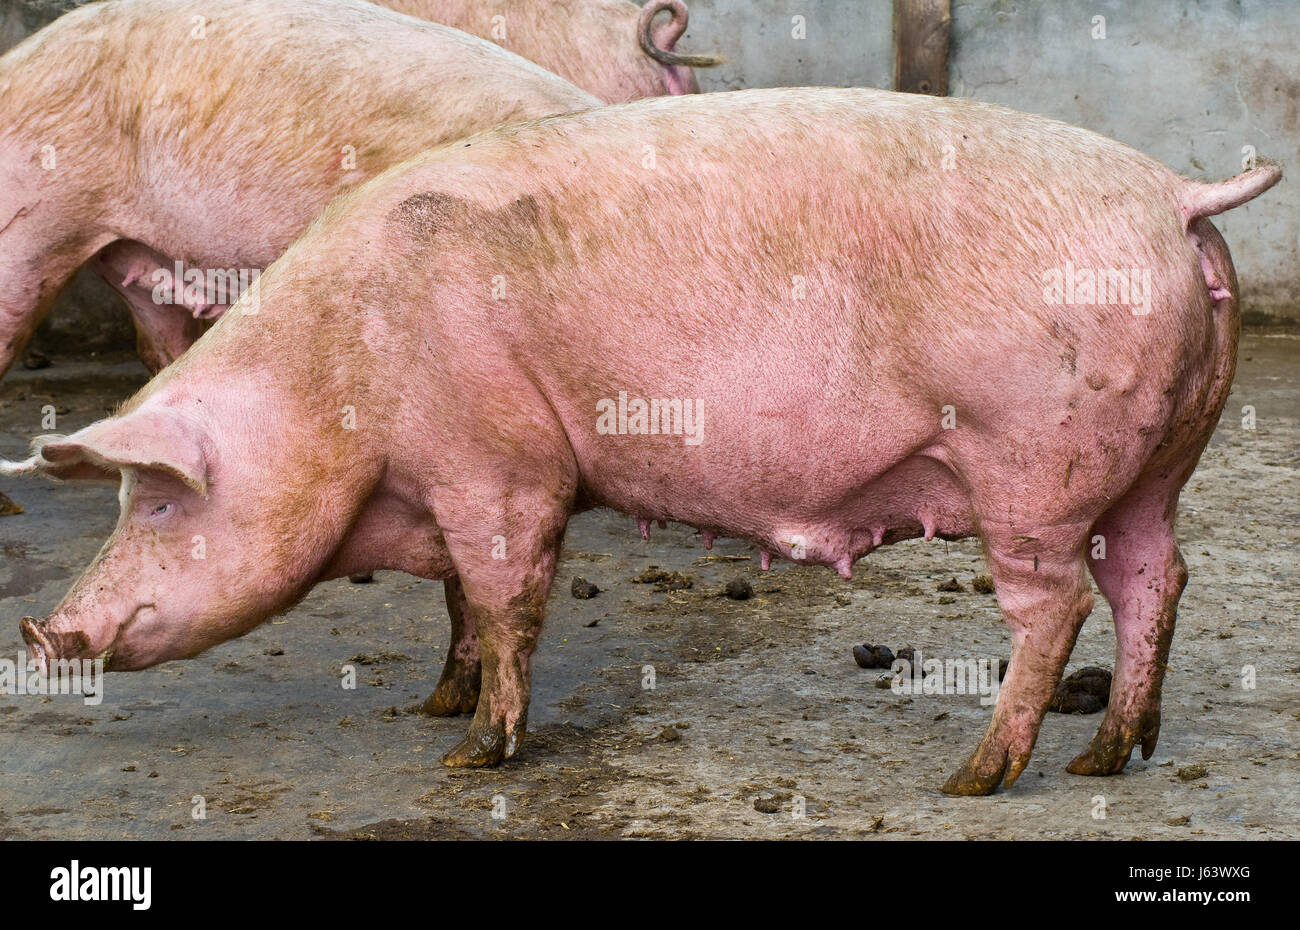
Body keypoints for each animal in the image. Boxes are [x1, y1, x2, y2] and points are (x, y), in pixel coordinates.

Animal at [3, 87, 1280, 794]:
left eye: (160, 499)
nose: (49, 629)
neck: (338, 377)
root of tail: (1174, 196)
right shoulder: (449, 481)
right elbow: (456, 597)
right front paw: (436, 704)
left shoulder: (502, 462)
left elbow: (506, 593)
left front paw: (471, 753)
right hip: (1158, 461)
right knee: (1156, 575)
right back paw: (1109, 754)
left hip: (1031, 465)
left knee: (1053, 603)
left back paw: (974, 780)